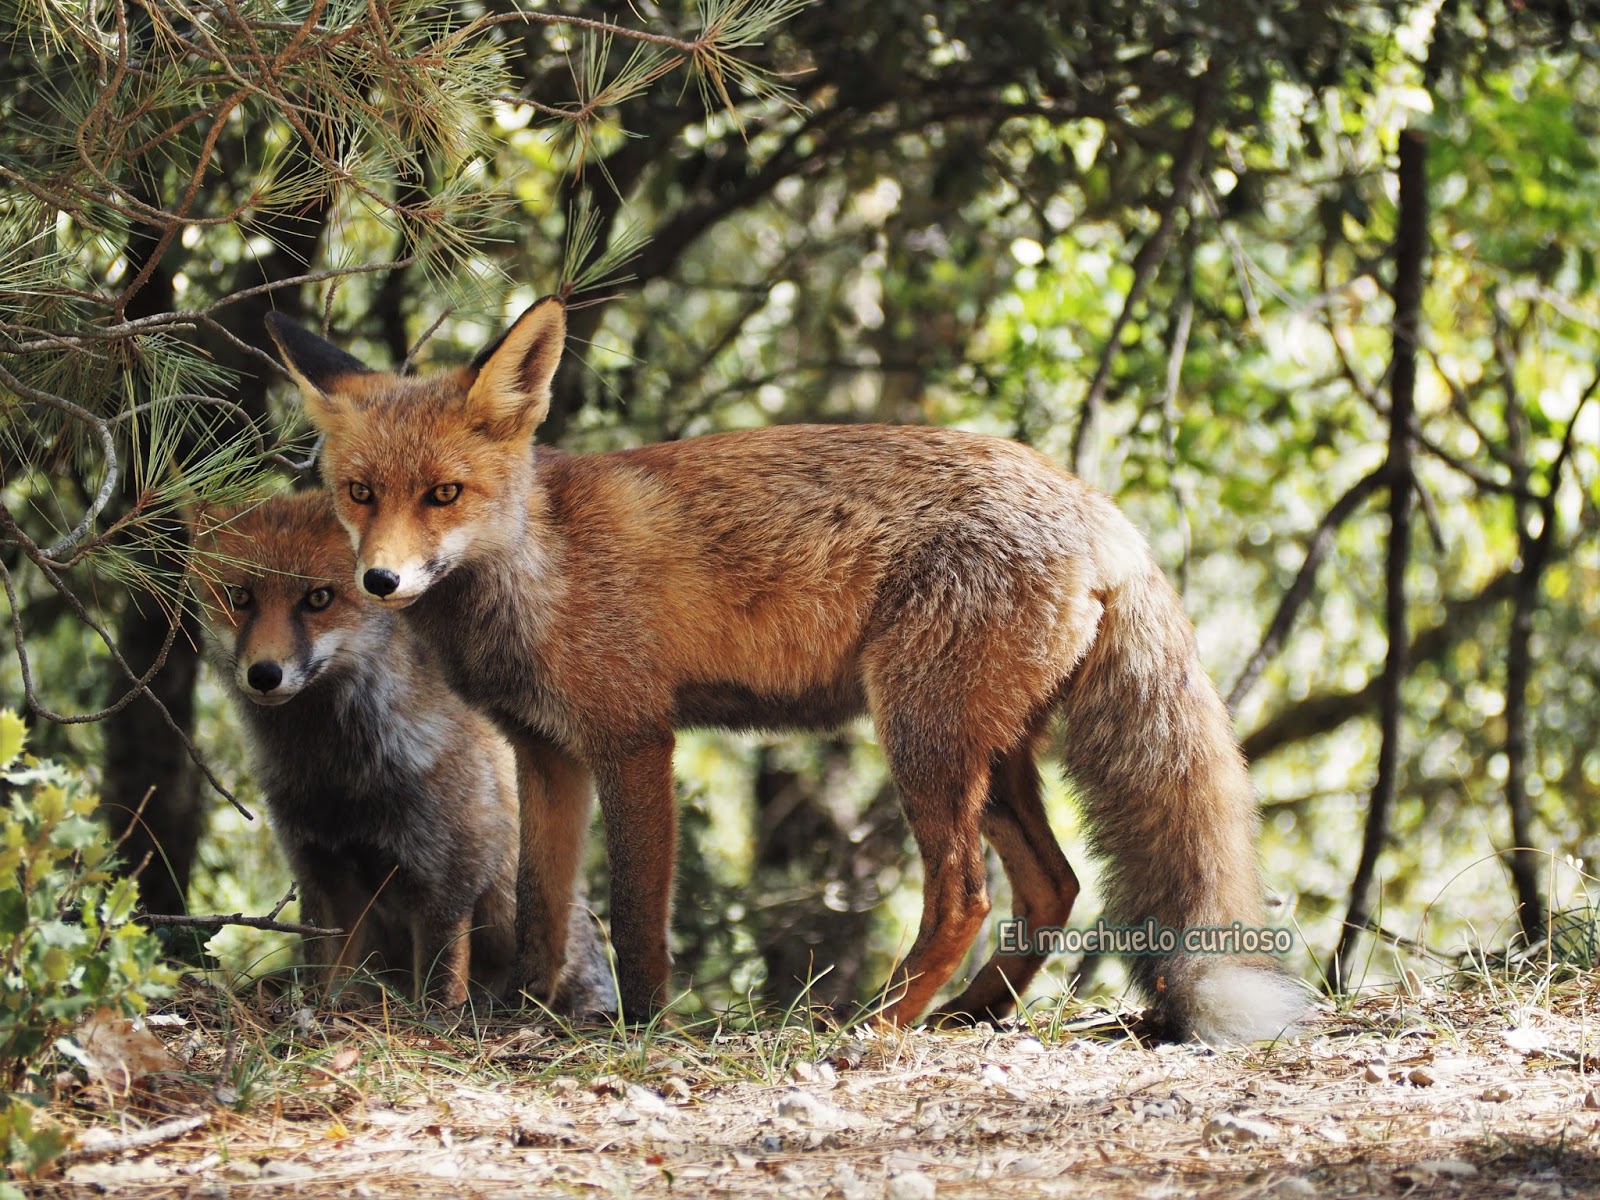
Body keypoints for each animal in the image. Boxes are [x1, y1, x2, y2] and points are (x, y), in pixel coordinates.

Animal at [191, 489, 613, 1014]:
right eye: (240, 597)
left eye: (318, 598)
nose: (265, 674)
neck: (341, 779)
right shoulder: (322, 872)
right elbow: (324, 982)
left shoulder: (446, 883)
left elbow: (438, 993)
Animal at [264, 296, 1308, 1044]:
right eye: (360, 492)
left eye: (445, 493)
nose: (381, 579)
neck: (539, 566)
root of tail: (1099, 506)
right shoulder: (548, 755)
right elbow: (542, 906)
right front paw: (521, 1015)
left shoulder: (633, 740)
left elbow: (636, 917)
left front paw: (640, 1028)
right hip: (992, 754)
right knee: (1054, 885)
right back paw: (970, 1015)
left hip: (921, 739)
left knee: (965, 895)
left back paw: (876, 1022)